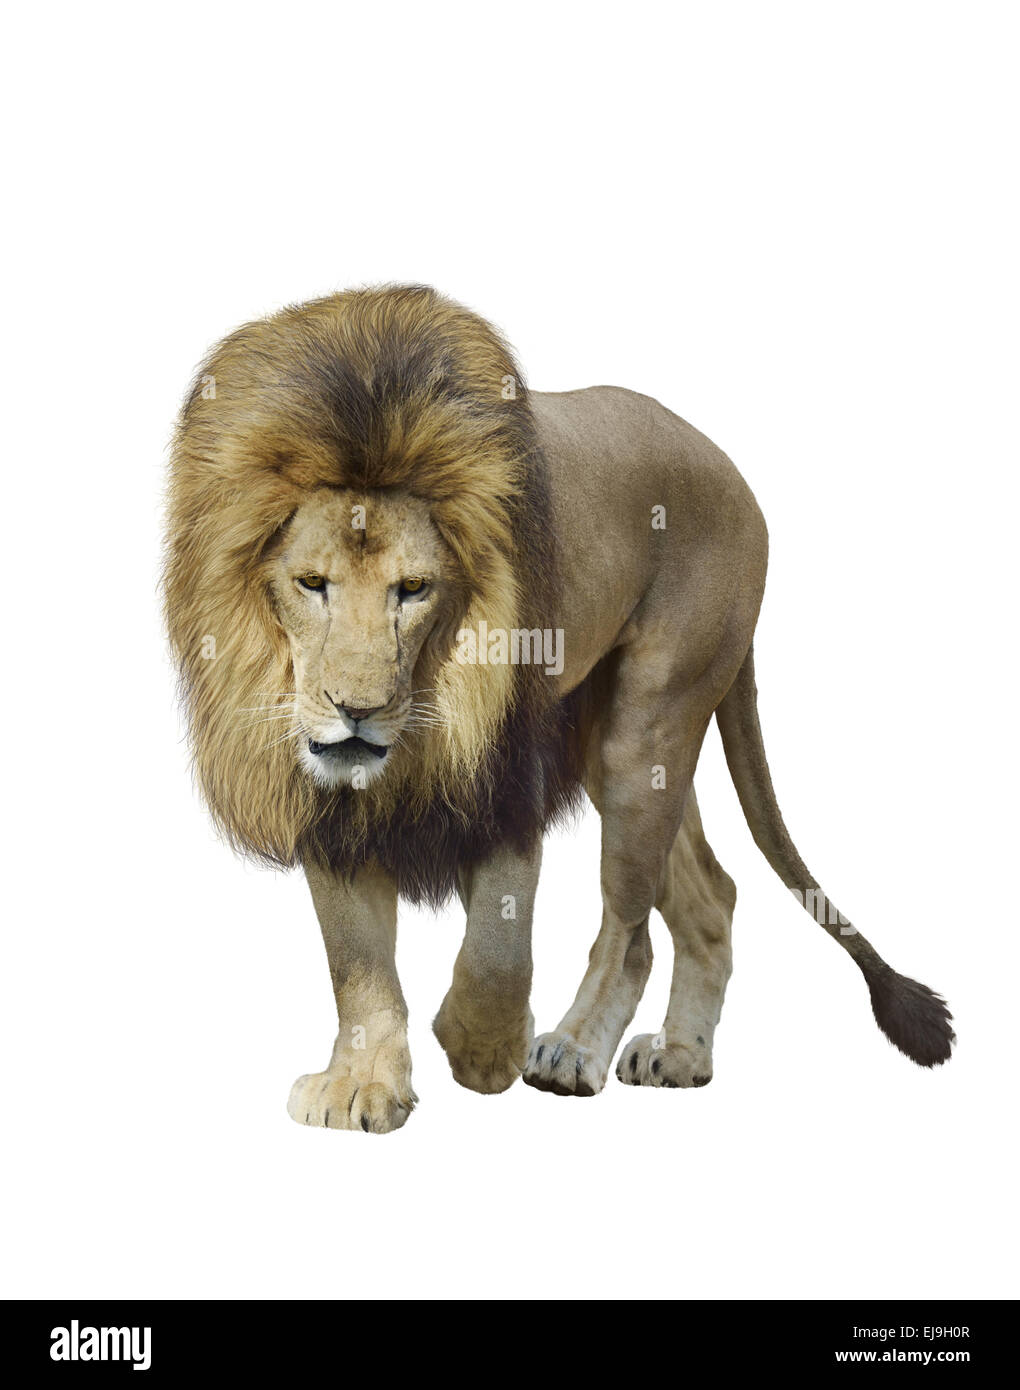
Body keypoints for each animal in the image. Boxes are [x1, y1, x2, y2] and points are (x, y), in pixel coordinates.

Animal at [164, 284, 954, 1133]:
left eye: (414, 589)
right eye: (311, 584)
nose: (357, 709)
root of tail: (730, 469)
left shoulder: (508, 773)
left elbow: (498, 943)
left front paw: (481, 1047)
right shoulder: (324, 802)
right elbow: (358, 963)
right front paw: (361, 1087)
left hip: (650, 722)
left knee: (632, 929)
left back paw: (572, 1051)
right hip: (615, 743)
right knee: (712, 895)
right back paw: (681, 1057)